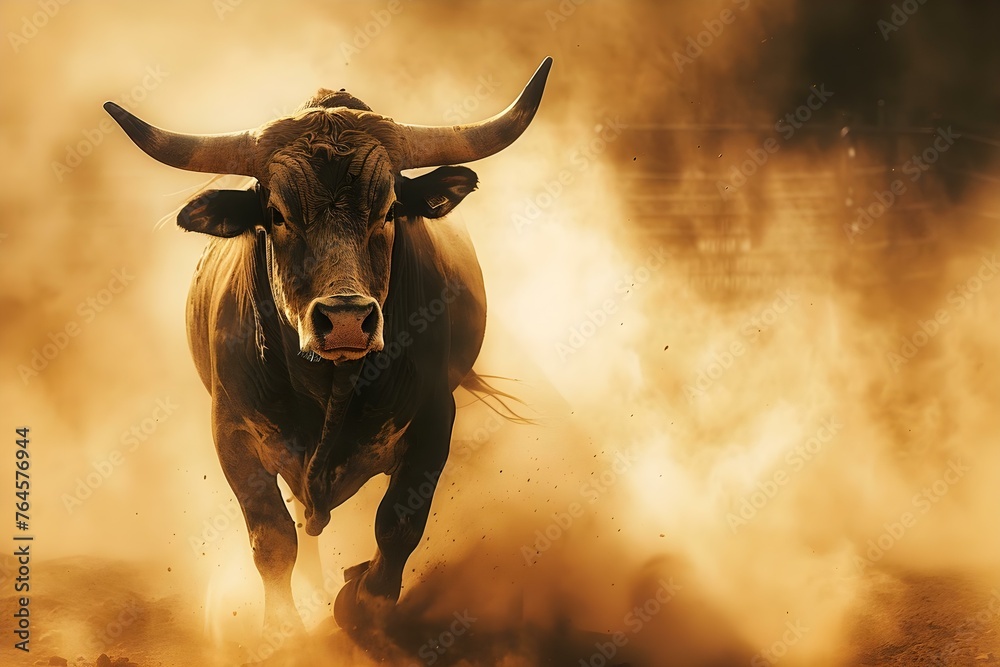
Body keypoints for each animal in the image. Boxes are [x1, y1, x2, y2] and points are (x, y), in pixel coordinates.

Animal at [104, 57, 551, 635]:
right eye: (276, 214)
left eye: (389, 209)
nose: (345, 321)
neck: (330, 388)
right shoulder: (233, 434)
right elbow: (272, 538)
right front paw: (283, 631)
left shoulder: (435, 420)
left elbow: (398, 525)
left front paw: (366, 608)